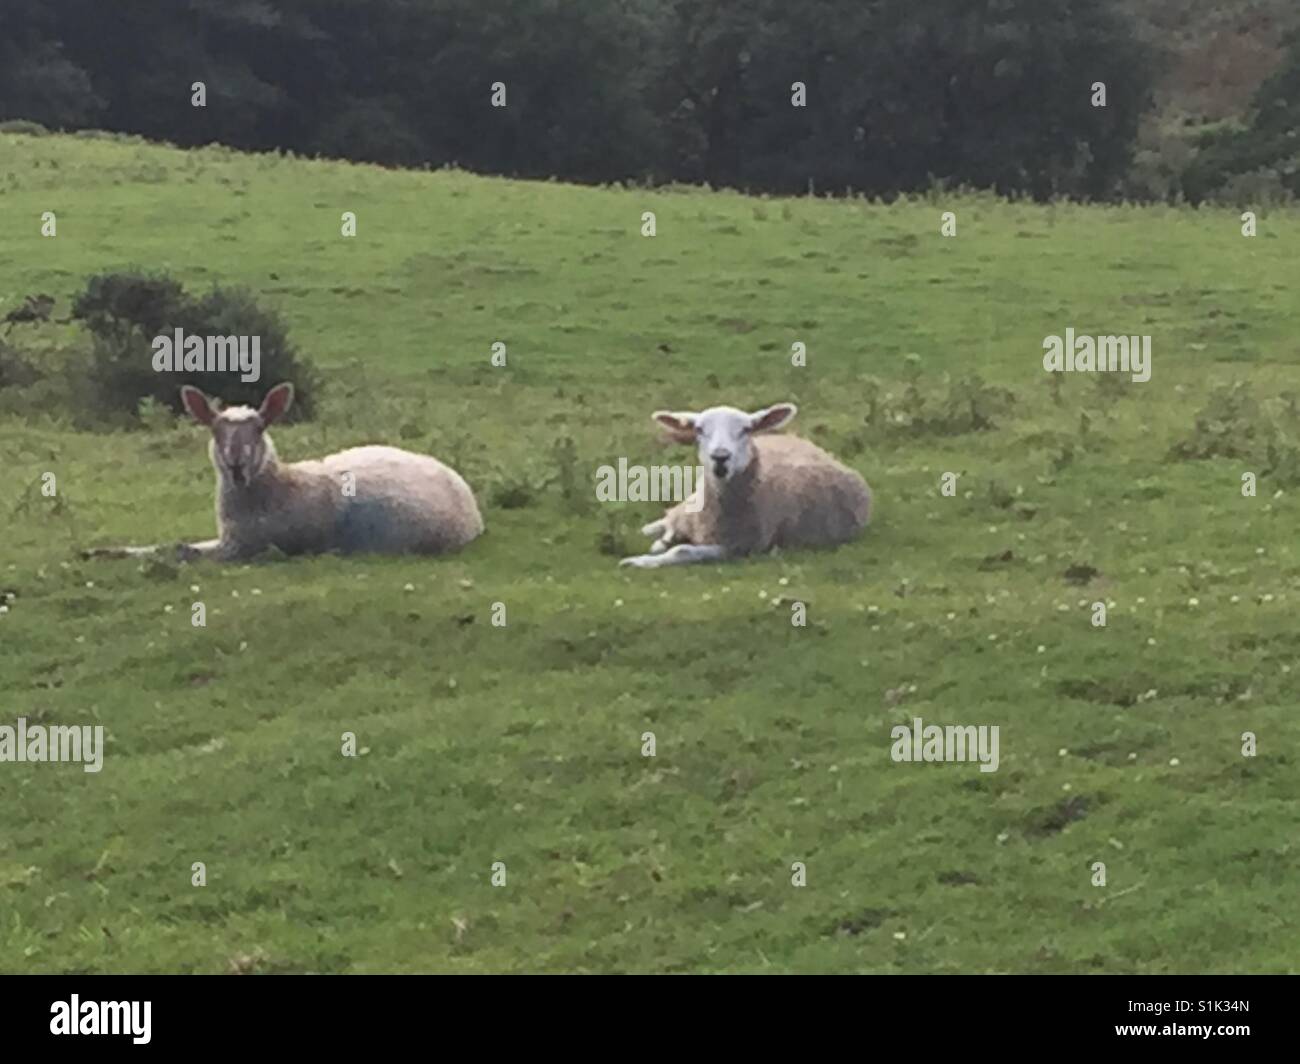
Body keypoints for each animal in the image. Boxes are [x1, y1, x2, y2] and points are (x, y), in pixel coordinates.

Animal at [82, 382, 483, 562]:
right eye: (215, 430)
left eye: (259, 429)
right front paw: (99, 551)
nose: (236, 464)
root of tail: (472, 507)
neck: (278, 485)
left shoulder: (243, 547)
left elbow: (180, 550)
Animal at [619, 402, 870, 569]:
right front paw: (648, 552)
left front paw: (638, 561)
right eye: (699, 429)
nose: (720, 456)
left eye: (746, 429)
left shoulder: (739, 547)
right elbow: (666, 537)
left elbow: (682, 550)